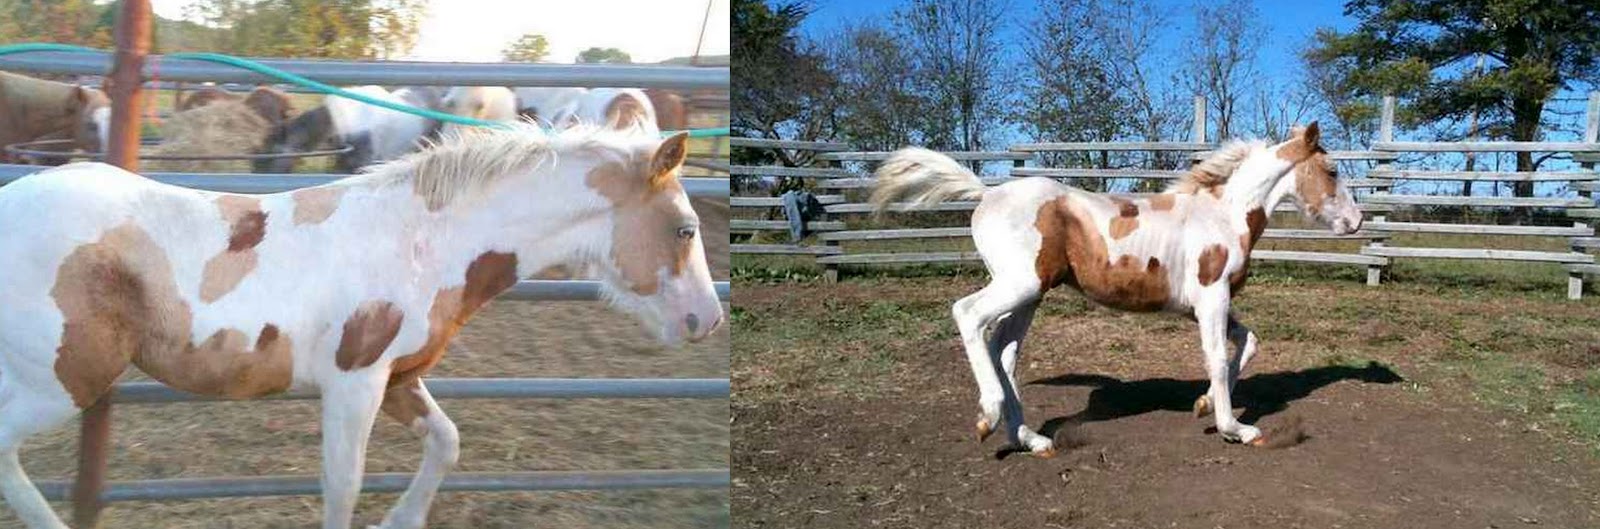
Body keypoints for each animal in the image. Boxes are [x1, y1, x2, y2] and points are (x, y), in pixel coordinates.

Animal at [0, 124, 723, 529]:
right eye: (685, 229)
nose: (706, 320)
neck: (421, 240)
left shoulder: (398, 377)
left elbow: (448, 442)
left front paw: (403, 520)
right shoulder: (354, 383)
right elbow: (342, 485)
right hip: (60, 381)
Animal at [869, 123, 1362, 457]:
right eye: (1333, 170)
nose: (1355, 222)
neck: (1224, 215)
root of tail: (986, 195)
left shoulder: (1203, 305)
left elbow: (1249, 342)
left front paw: (1202, 405)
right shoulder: (1212, 297)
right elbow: (1219, 359)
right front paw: (1235, 428)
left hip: (1030, 296)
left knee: (1003, 351)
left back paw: (1031, 439)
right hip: (1019, 284)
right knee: (968, 314)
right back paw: (988, 417)